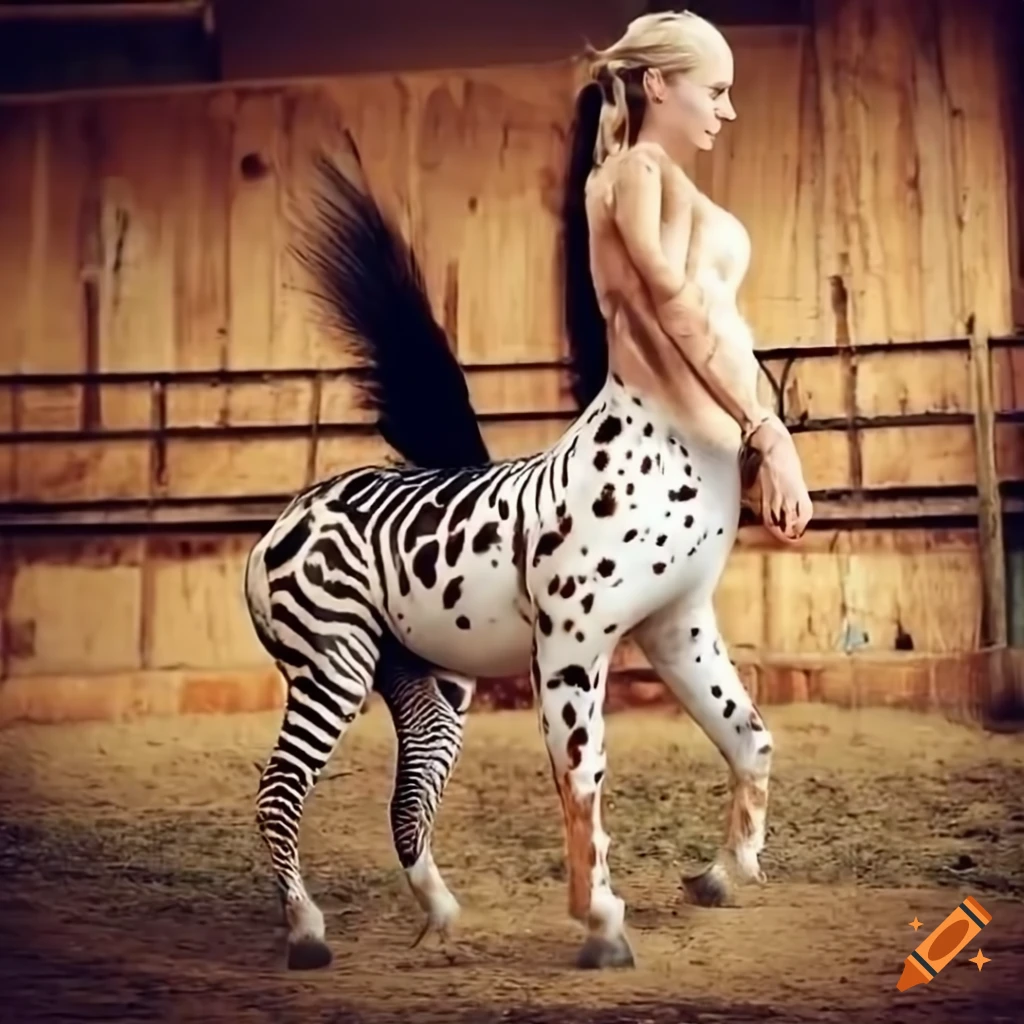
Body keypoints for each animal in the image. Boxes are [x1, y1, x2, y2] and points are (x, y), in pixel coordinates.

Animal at [244, 136, 774, 972]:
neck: (661, 442)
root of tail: (277, 528)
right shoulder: (570, 650)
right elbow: (583, 781)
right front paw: (601, 924)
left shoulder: (679, 628)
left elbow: (747, 738)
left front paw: (722, 875)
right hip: (331, 670)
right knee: (279, 793)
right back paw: (306, 933)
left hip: (428, 691)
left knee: (406, 802)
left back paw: (440, 917)